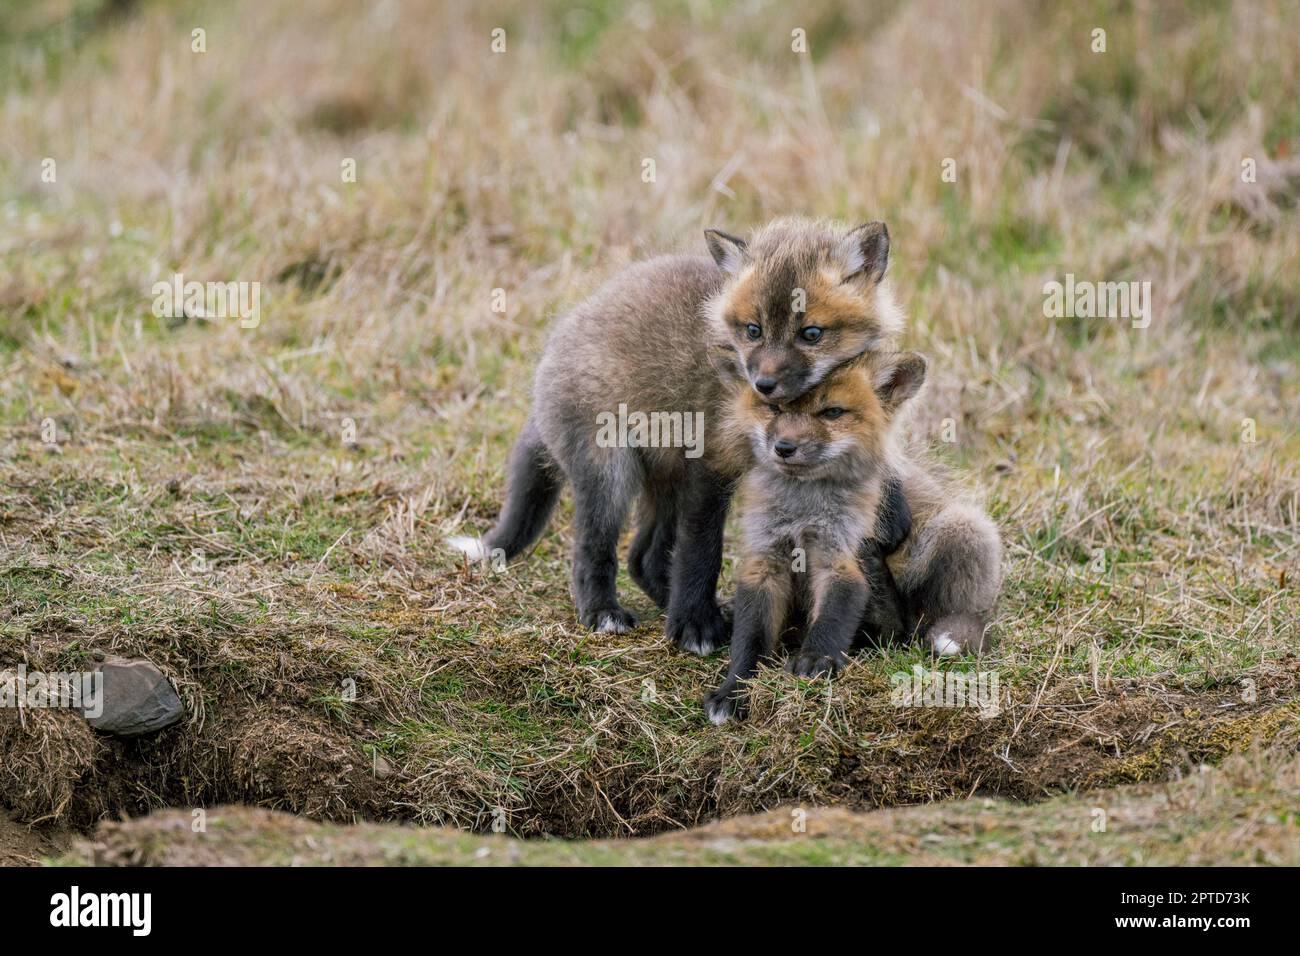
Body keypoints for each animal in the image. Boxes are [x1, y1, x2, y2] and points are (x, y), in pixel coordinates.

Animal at [448, 218, 904, 651]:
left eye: (811, 333)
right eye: (753, 330)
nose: (762, 385)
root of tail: (555, 345)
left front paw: (893, 515)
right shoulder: (711, 463)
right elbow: (701, 550)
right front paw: (693, 625)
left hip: (666, 478)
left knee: (643, 558)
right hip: (611, 473)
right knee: (593, 549)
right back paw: (603, 611)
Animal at [704, 349, 927, 724]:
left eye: (832, 412)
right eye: (775, 409)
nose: (784, 447)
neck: (802, 512)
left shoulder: (837, 556)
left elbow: (832, 618)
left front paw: (814, 660)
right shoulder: (765, 558)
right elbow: (750, 639)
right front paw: (734, 690)